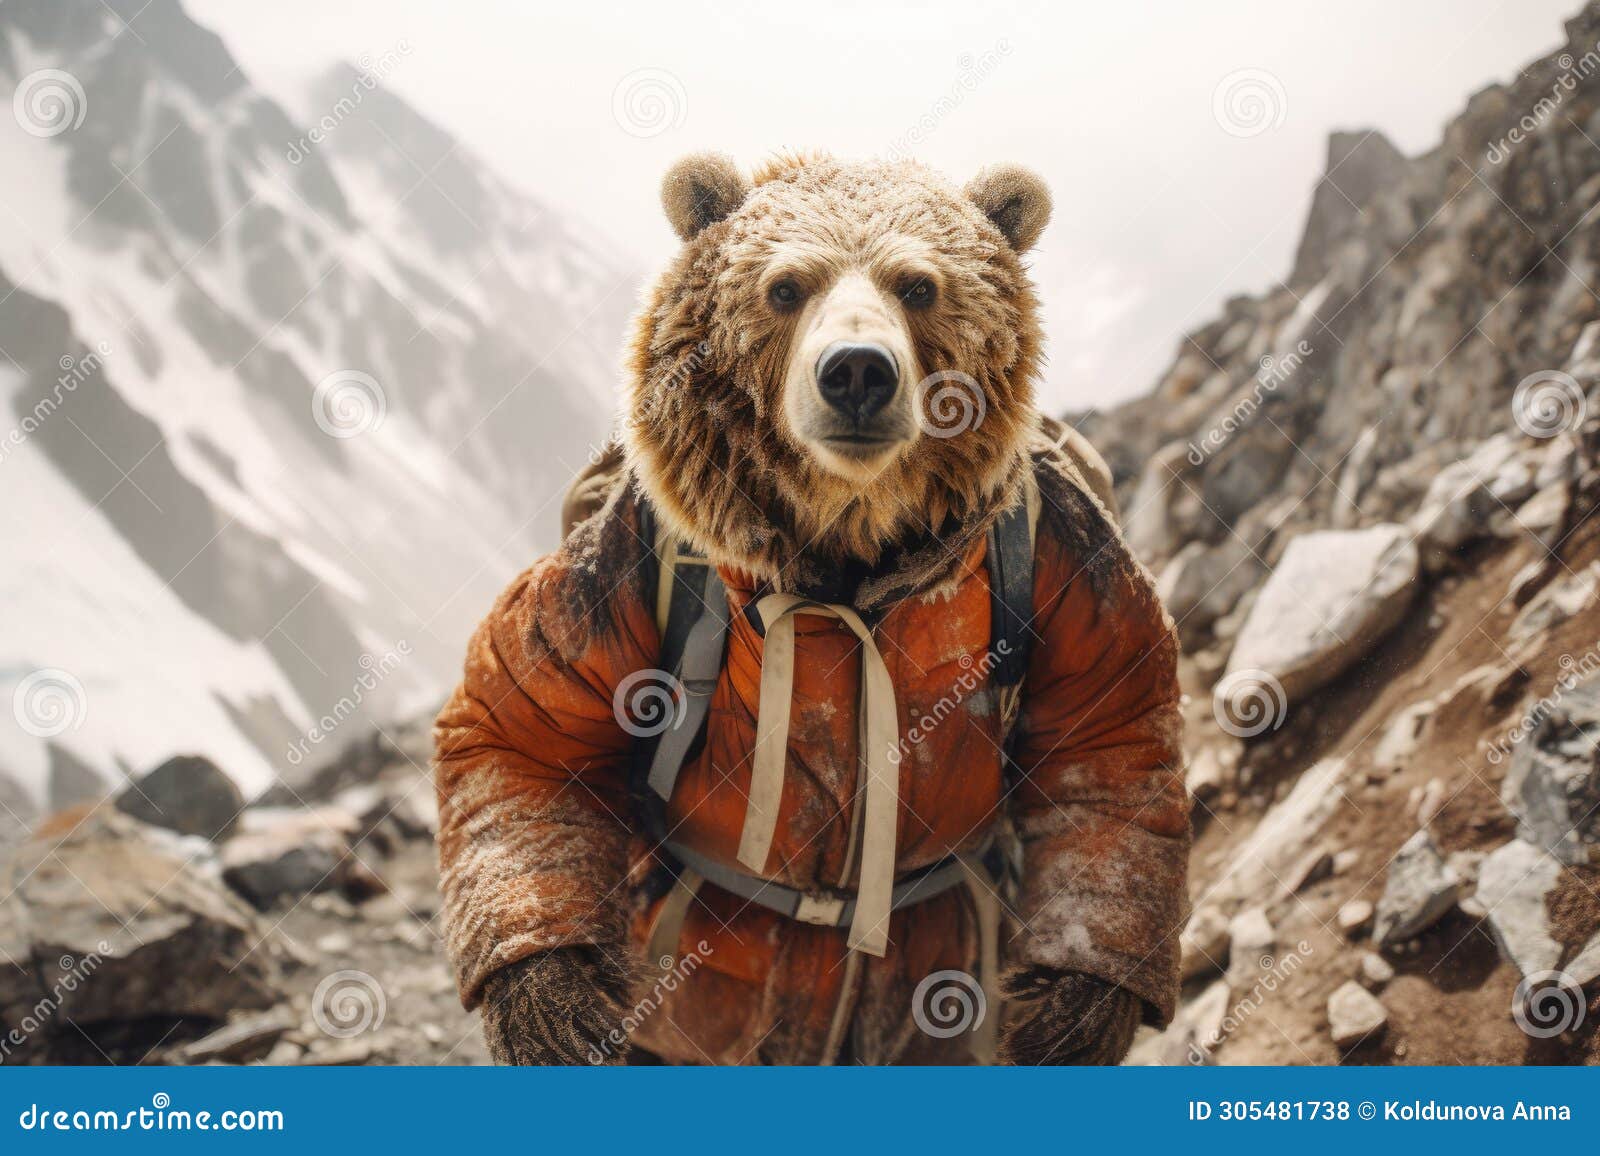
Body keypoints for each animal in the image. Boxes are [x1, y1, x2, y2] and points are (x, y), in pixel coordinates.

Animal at [433, 152, 1189, 1065]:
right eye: (786, 286)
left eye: (919, 285)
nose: (858, 370)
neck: (849, 560)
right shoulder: (617, 558)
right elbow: (525, 725)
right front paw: (552, 1010)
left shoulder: (1066, 549)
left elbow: (1110, 723)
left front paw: (1073, 1014)